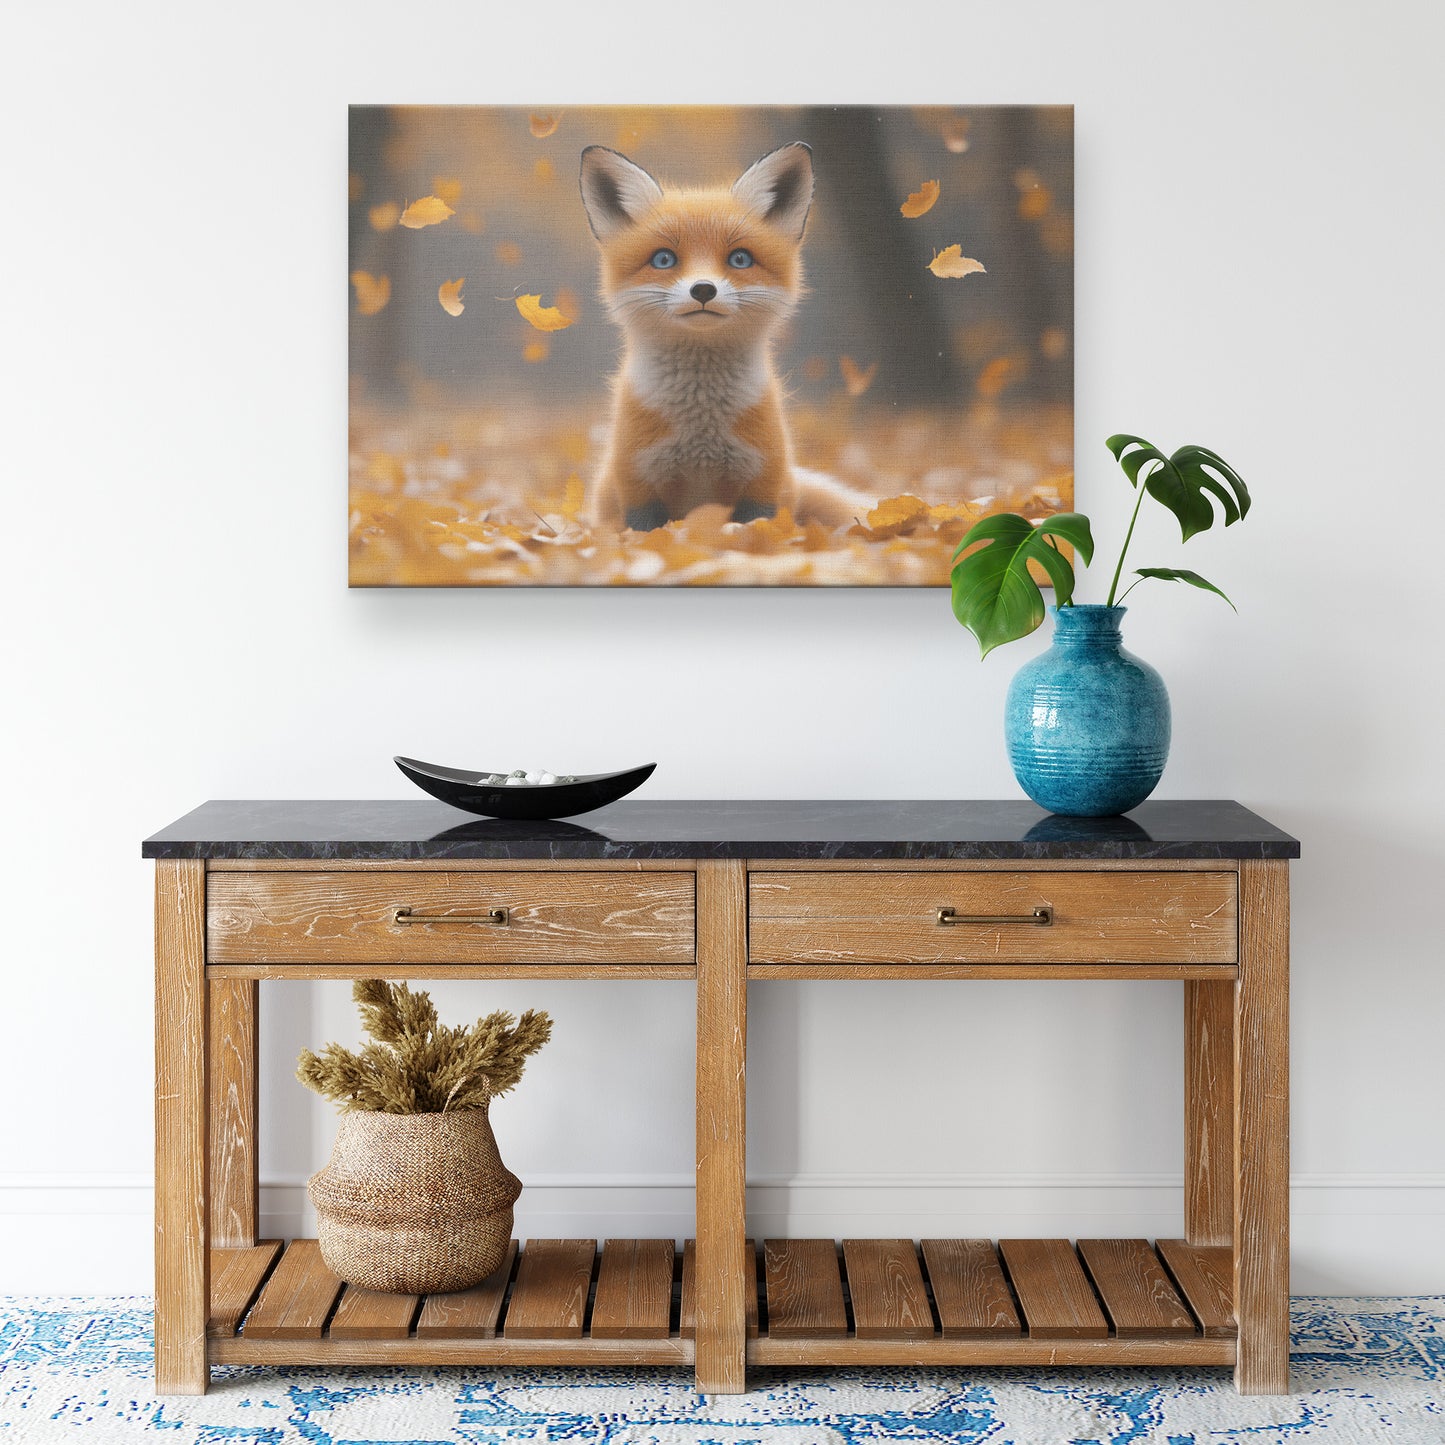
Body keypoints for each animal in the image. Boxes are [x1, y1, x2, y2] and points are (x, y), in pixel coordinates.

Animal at [579, 141, 875, 532]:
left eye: (739, 259)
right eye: (663, 259)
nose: (703, 289)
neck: (701, 425)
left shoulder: (762, 485)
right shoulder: (638, 488)